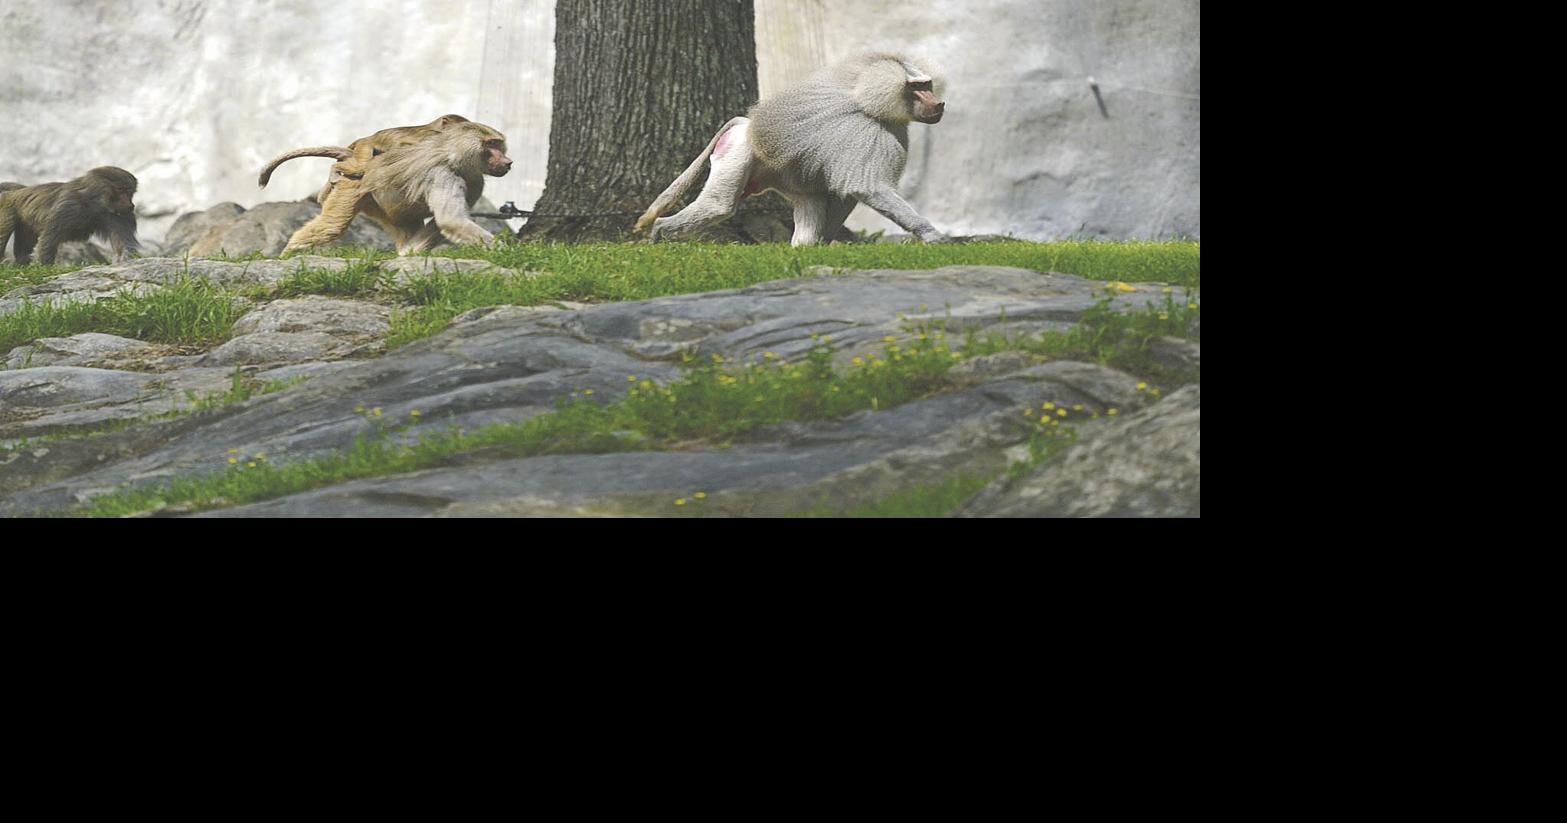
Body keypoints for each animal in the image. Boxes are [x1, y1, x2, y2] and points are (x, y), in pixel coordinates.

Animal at [0, 167, 140, 265]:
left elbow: (123, 245)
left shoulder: (117, 216)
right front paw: (45, 267)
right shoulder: (68, 207)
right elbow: (50, 238)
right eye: (121, 190)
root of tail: (18, 190)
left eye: (129, 191)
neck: (94, 204)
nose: (131, 205)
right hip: (7, 206)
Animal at [278, 119, 513, 255]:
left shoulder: (475, 183)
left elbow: (443, 222)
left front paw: (409, 254)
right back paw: (289, 254)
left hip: (381, 205)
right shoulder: (442, 174)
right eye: (491, 144)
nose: (508, 161)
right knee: (332, 225)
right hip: (354, 184)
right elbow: (451, 220)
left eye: (498, 144)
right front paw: (506, 252)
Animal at [637, 52, 950, 246]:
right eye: (917, 88)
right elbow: (868, 187)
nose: (939, 104)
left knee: (810, 208)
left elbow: (847, 195)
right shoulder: (866, 136)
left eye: (927, 84)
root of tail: (746, 124)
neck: (869, 102)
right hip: (738, 151)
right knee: (718, 207)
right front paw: (933, 236)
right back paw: (659, 235)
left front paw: (822, 244)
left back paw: (802, 248)